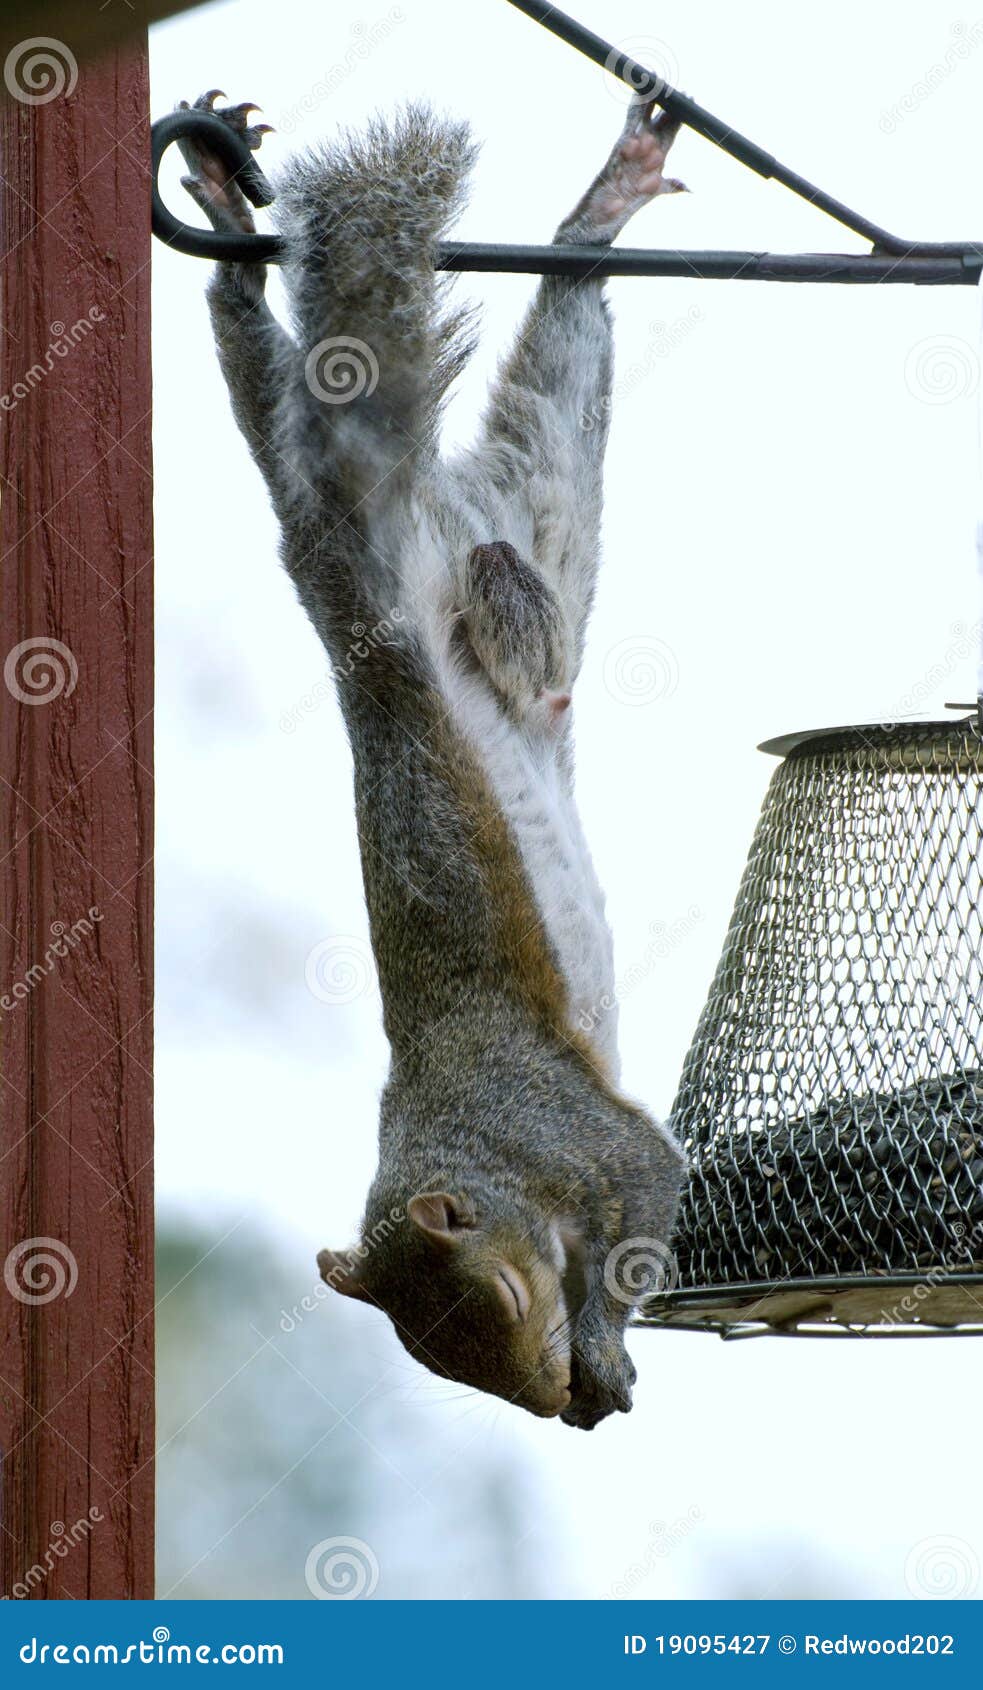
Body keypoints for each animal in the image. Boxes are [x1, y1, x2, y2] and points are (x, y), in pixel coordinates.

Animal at [178, 92, 687, 1429]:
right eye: (435, 1353)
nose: (547, 1395)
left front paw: (604, 1346)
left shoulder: (578, 1134)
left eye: (496, 1303)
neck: (477, 1149)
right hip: (531, 519)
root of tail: (377, 615)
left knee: (312, 447)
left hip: (394, 533)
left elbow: (644, 1193)